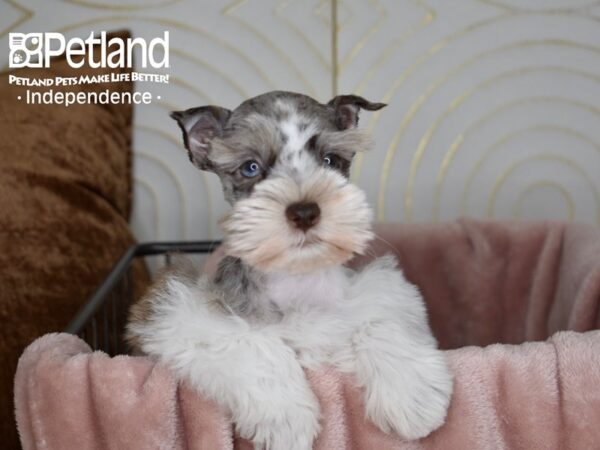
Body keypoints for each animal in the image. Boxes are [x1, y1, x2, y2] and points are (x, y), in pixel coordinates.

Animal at [127, 91, 454, 450]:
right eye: (251, 167)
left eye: (329, 160)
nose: (305, 212)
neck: (298, 277)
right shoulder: (182, 315)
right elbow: (248, 344)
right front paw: (285, 418)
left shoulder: (383, 292)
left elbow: (380, 319)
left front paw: (412, 398)